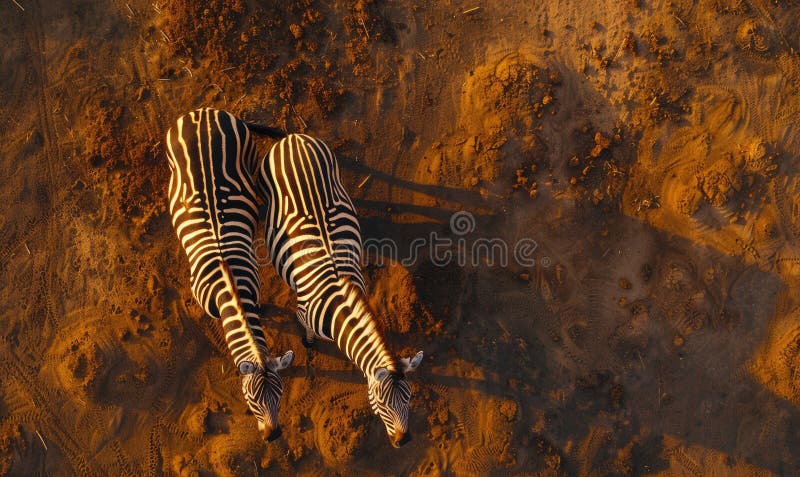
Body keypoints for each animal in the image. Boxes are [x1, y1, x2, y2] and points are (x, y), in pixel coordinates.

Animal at [165, 107, 294, 441]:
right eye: (251, 402)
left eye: (280, 394)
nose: (273, 436)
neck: (229, 283)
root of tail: (203, 112)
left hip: (247, 157)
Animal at [257, 133, 424, 448]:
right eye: (382, 405)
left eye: (409, 399)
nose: (405, 441)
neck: (337, 305)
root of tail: (294, 137)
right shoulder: (303, 312)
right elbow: (308, 333)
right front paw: (308, 344)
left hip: (334, 175)